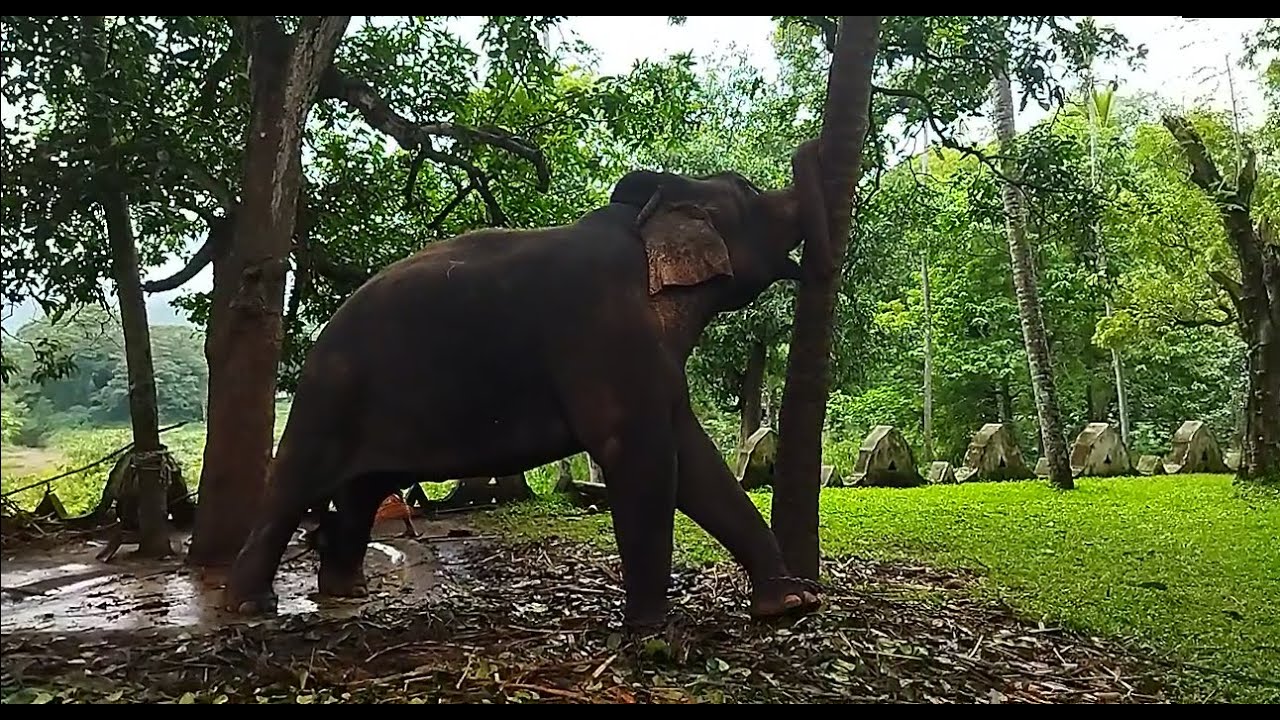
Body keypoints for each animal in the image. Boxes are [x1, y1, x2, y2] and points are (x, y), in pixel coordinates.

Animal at [223, 142, 827, 629]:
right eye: (750, 191)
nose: (810, 148)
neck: (647, 219)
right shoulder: (602, 333)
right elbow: (640, 453)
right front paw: (649, 627)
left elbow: (696, 459)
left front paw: (789, 604)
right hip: (328, 393)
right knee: (295, 481)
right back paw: (250, 605)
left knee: (360, 491)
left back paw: (346, 591)